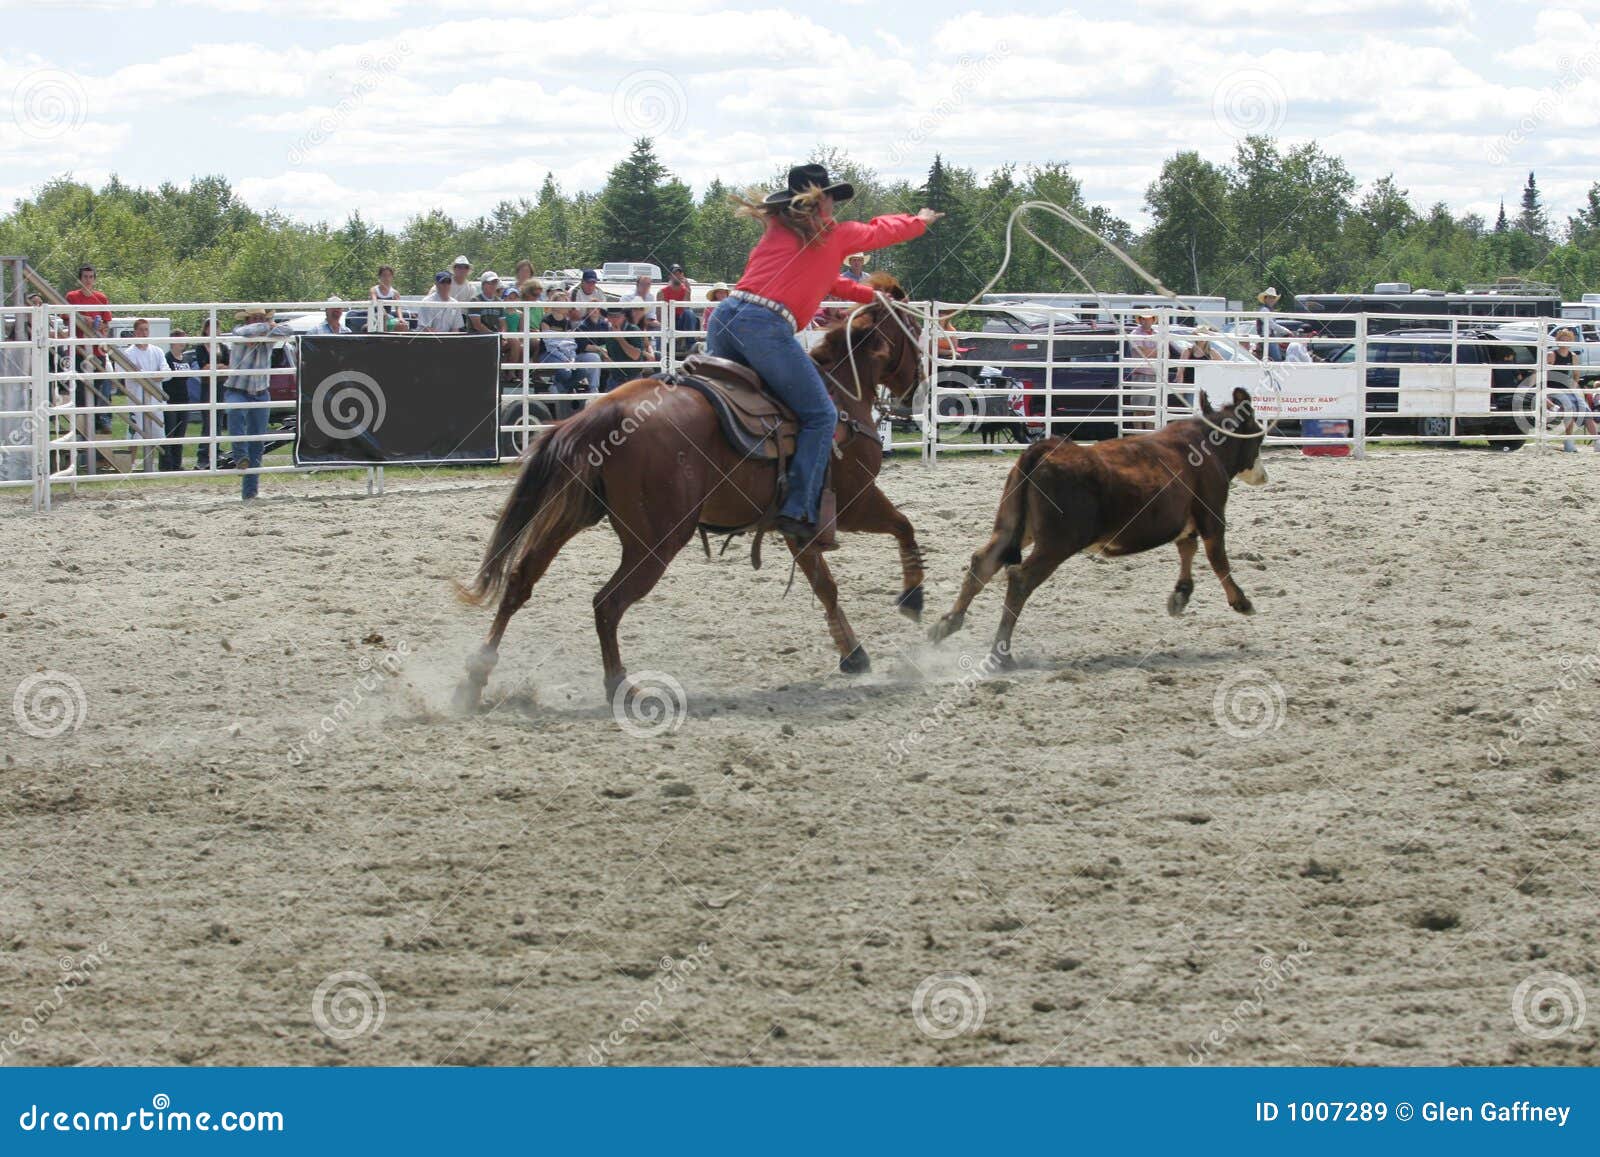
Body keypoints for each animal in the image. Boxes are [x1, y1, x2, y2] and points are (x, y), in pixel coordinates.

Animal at [928, 387, 1267, 667]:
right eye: (1259, 436)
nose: (1263, 474)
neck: (1203, 444)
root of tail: (1044, 449)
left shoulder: (1188, 522)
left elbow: (1188, 547)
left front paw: (1180, 595)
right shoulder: (1213, 514)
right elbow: (1217, 558)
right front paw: (1241, 602)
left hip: (1013, 528)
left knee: (982, 563)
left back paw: (946, 625)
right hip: (1057, 543)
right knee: (1020, 579)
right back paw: (1002, 654)